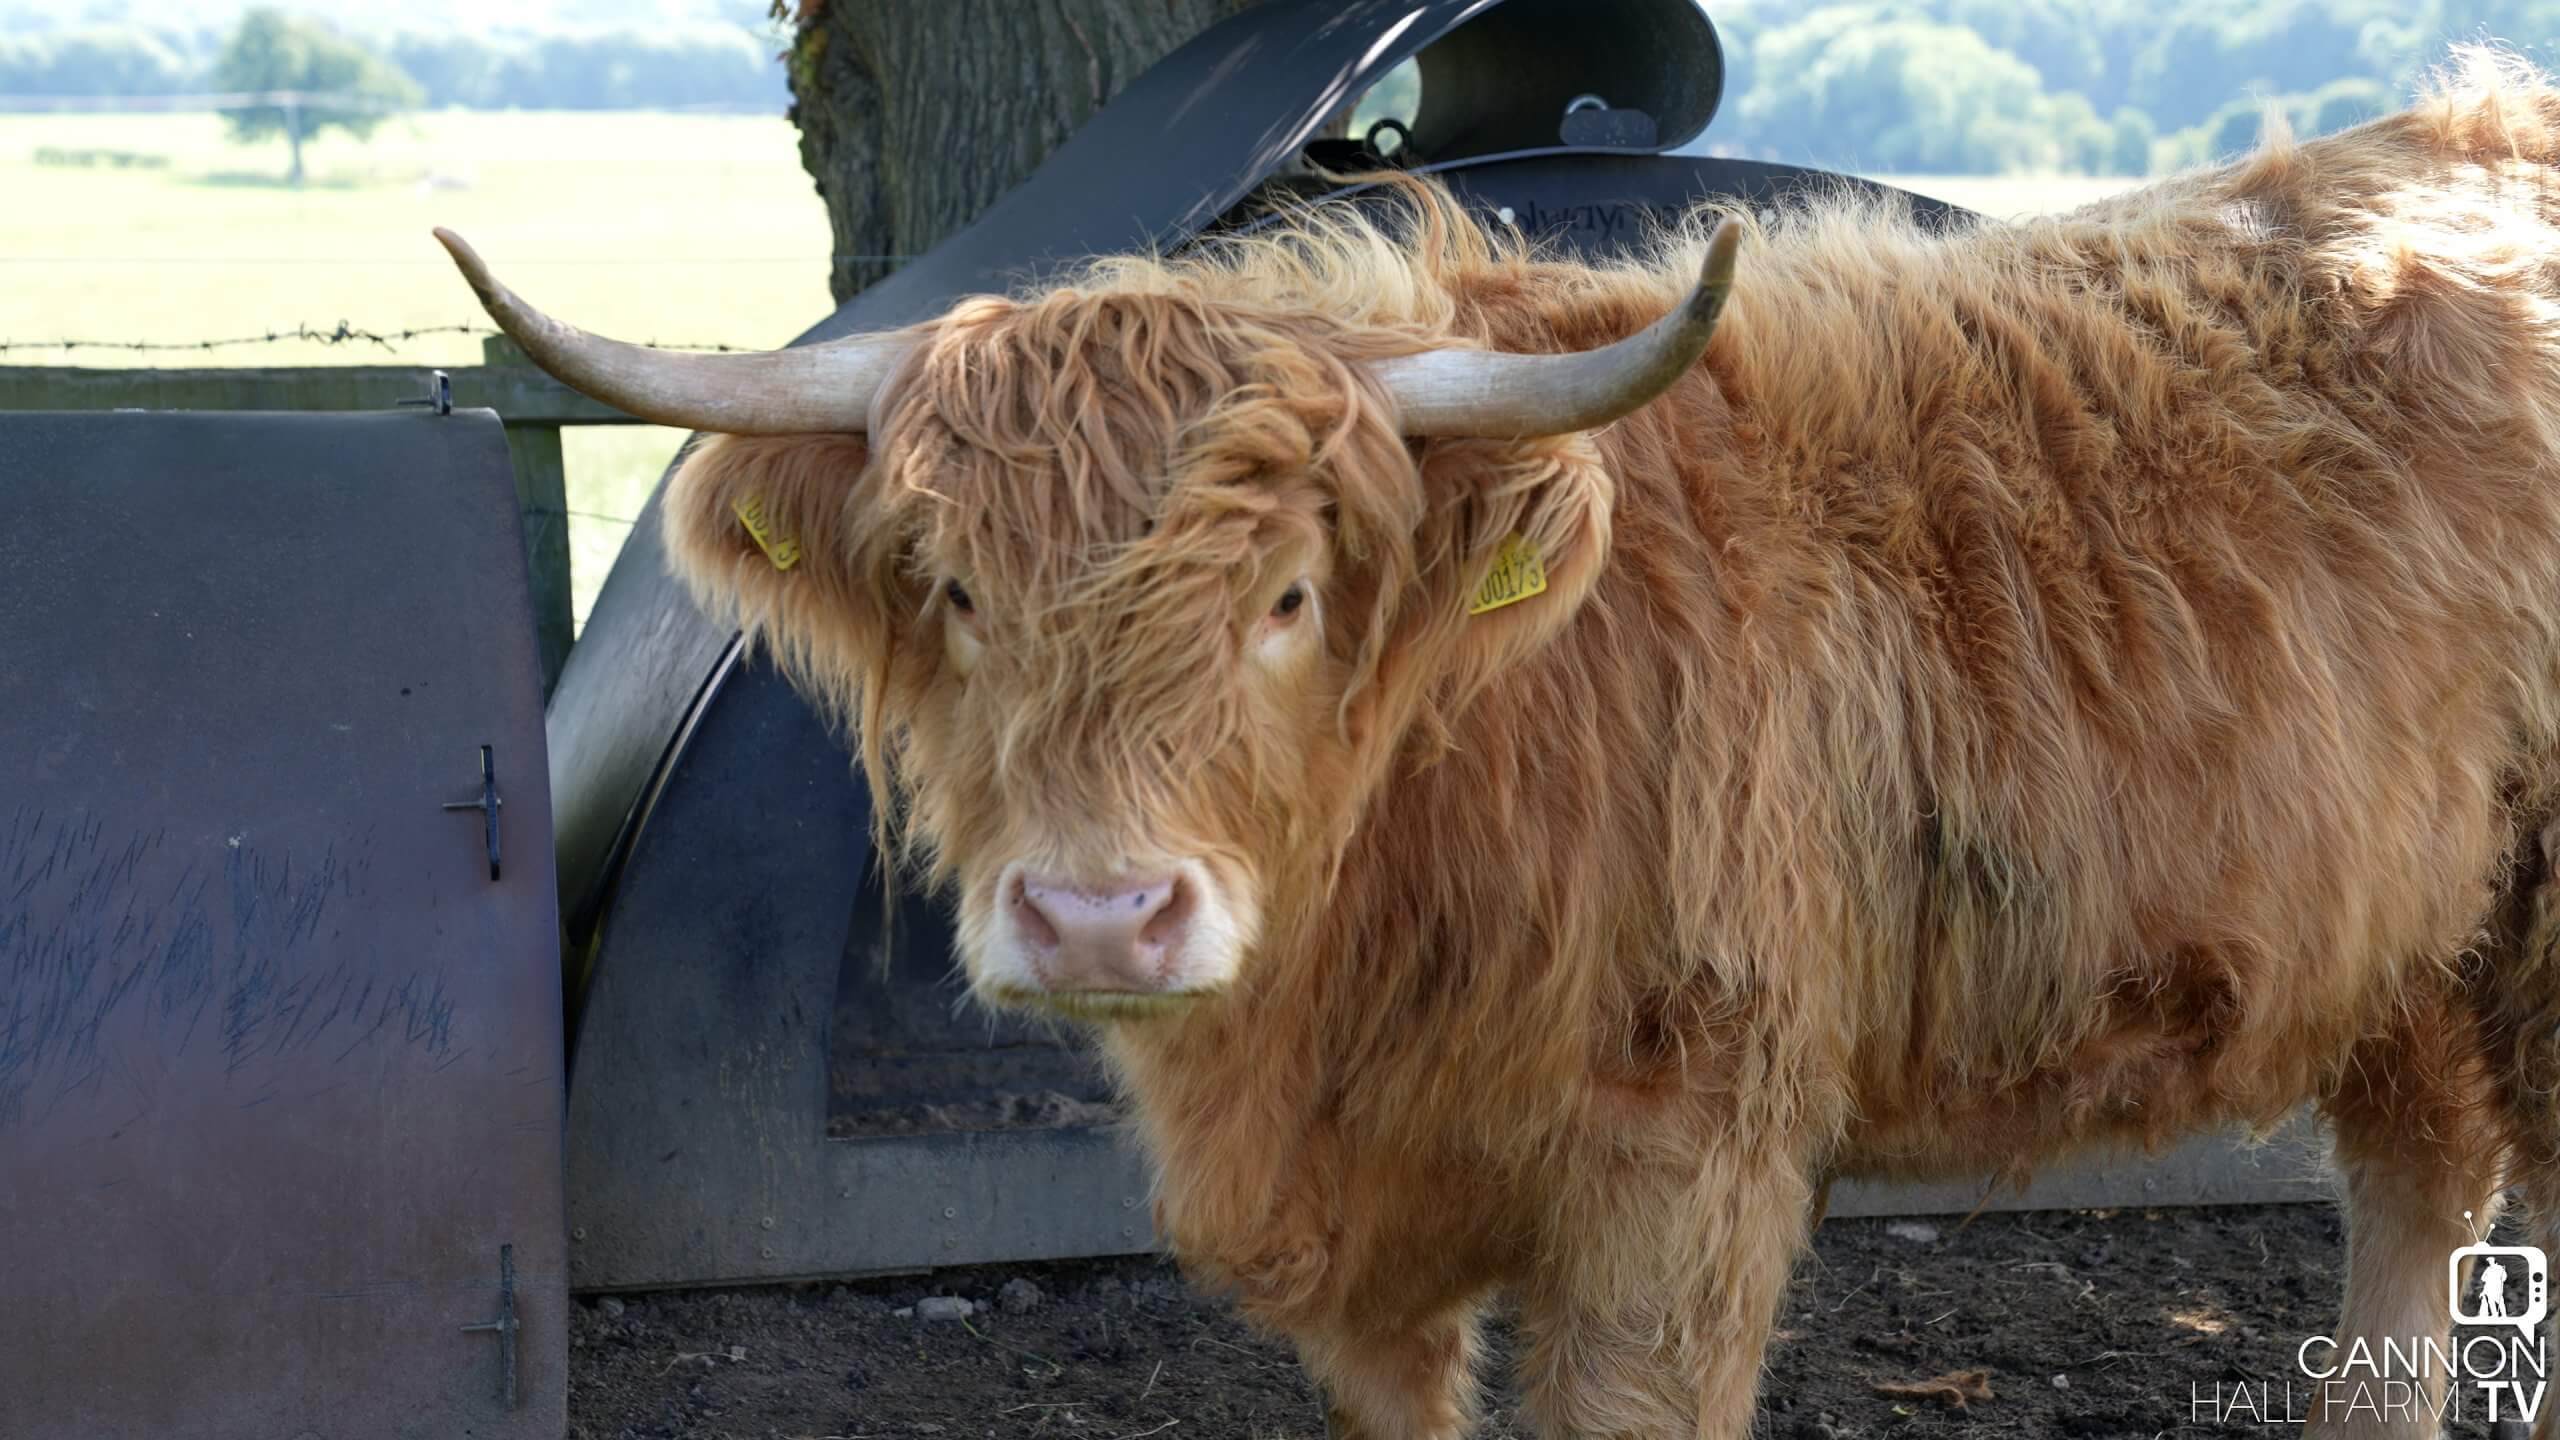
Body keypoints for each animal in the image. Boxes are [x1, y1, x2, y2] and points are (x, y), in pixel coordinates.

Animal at [441, 51, 2560, 1439]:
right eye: (954, 588)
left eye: (1289, 597)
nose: (1103, 919)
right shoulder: (1365, 1242)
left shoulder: (1684, 1166)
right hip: (2421, 949)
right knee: (2418, 1198)